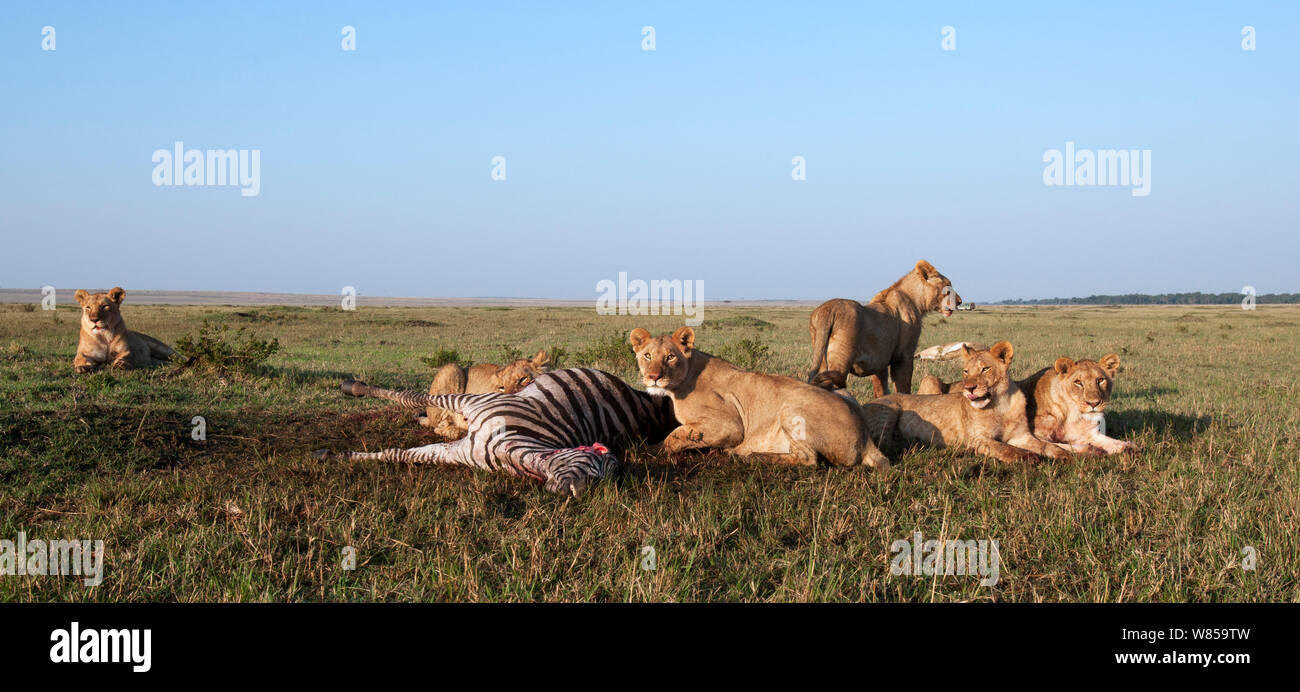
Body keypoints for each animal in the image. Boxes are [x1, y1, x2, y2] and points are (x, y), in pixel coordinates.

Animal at [316, 368, 678, 496]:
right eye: (594, 466)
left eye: (602, 481)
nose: (574, 494)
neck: (505, 449)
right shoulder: (470, 401)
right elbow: (408, 396)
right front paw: (353, 388)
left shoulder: (454, 453)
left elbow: (399, 454)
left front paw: (334, 454)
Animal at [629, 326, 890, 470]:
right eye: (647, 355)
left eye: (670, 357)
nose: (653, 377)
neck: (679, 385)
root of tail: (867, 439)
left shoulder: (731, 425)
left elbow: (676, 435)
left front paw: (650, 450)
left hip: (791, 407)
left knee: (808, 459)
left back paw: (749, 456)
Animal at [807, 260, 960, 397]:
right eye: (948, 287)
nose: (959, 302)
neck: (916, 301)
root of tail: (828, 310)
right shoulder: (903, 356)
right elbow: (903, 387)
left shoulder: (879, 362)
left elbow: (881, 390)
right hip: (840, 362)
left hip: (821, 358)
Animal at [868, 341, 1070, 463]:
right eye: (966, 371)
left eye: (985, 369)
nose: (969, 388)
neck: (1001, 404)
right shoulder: (977, 439)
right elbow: (1005, 448)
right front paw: (1030, 457)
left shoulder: (1021, 436)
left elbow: (1045, 445)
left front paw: (1064, 454)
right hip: (892, 408)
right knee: (884, 443)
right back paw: (915, 444)